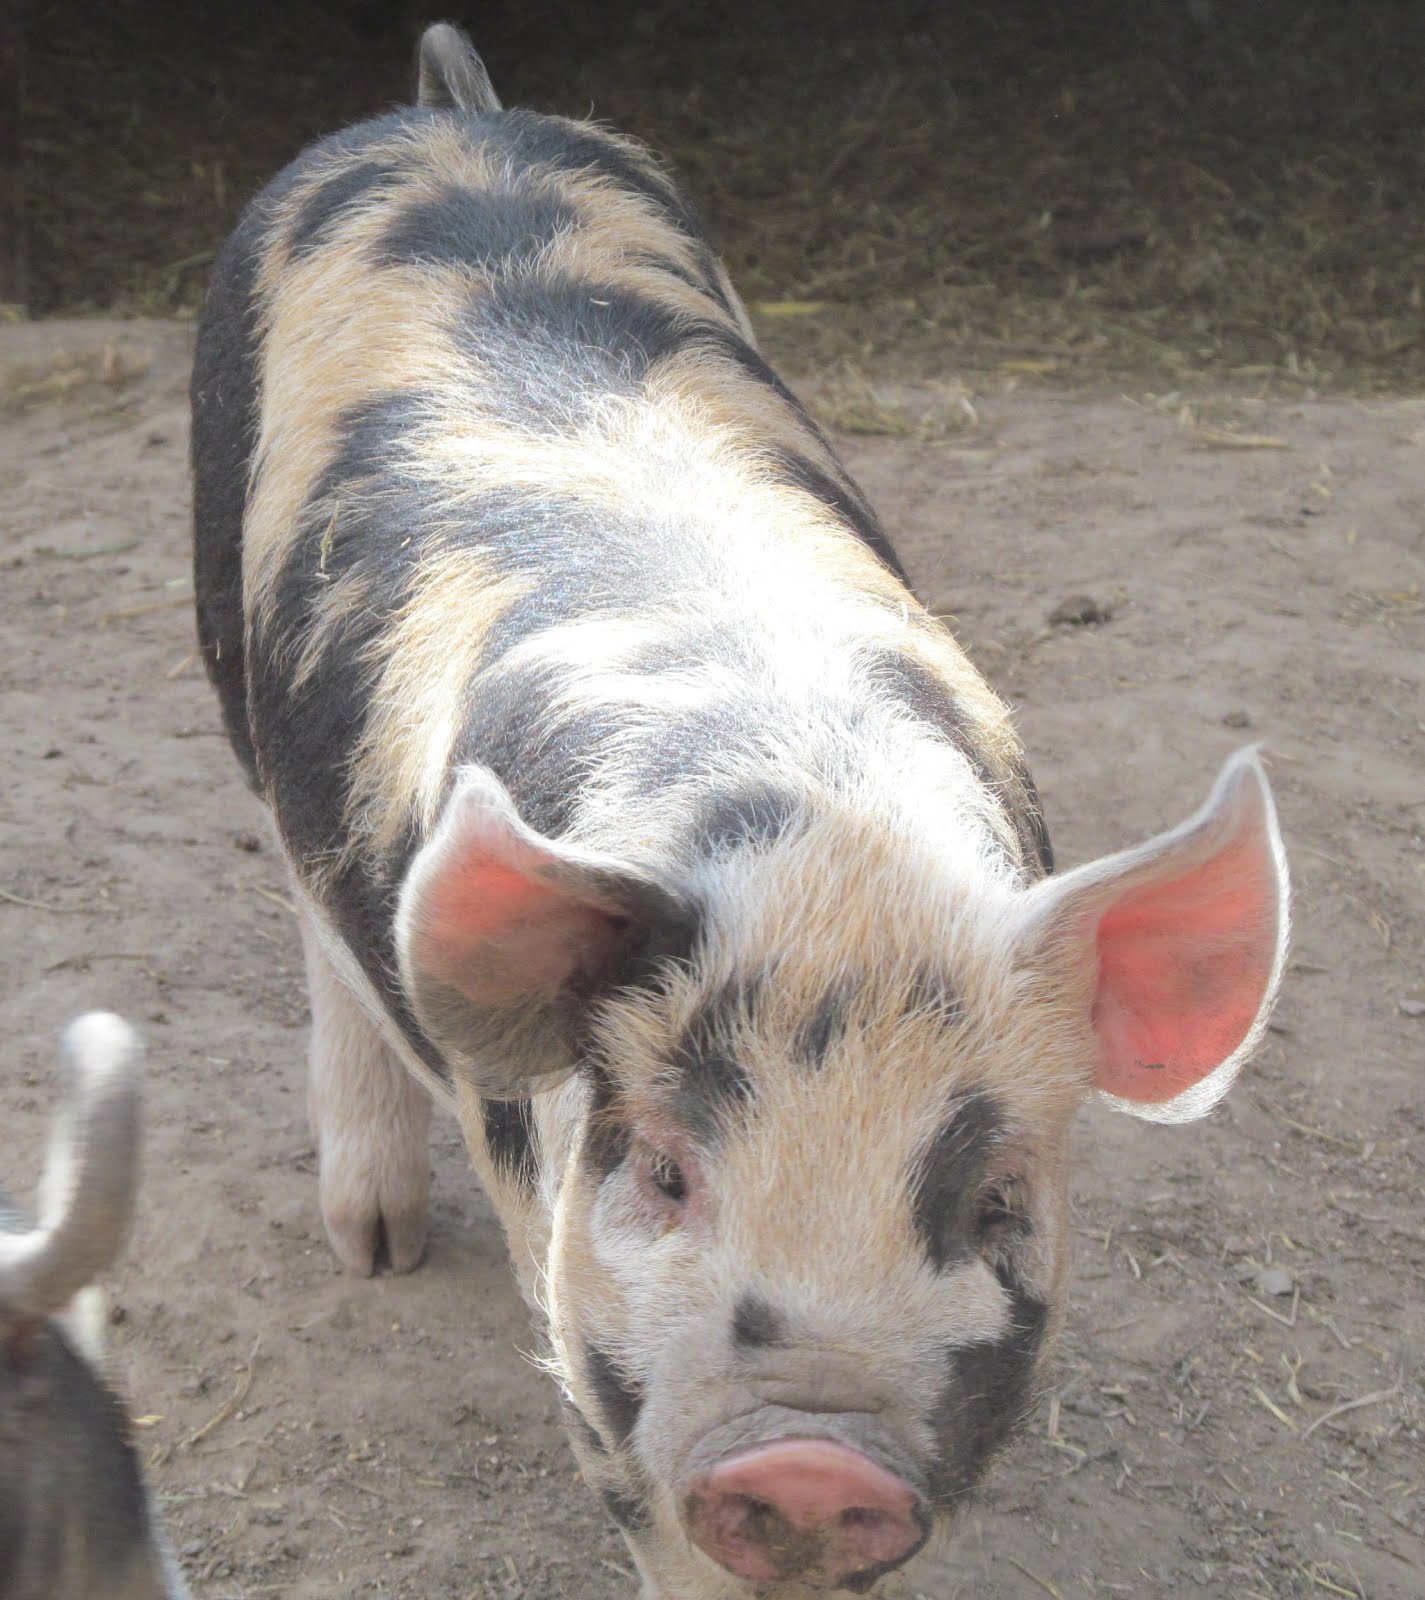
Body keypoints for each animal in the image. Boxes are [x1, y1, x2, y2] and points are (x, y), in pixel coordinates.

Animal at [190, 22, 1289, 1595]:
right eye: (661, 1167)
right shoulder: (586, 1321)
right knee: (308, 913)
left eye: (995, 1198)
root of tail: (444, 115)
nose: (812, 1459)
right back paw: (375, 1244)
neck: (817, 817)